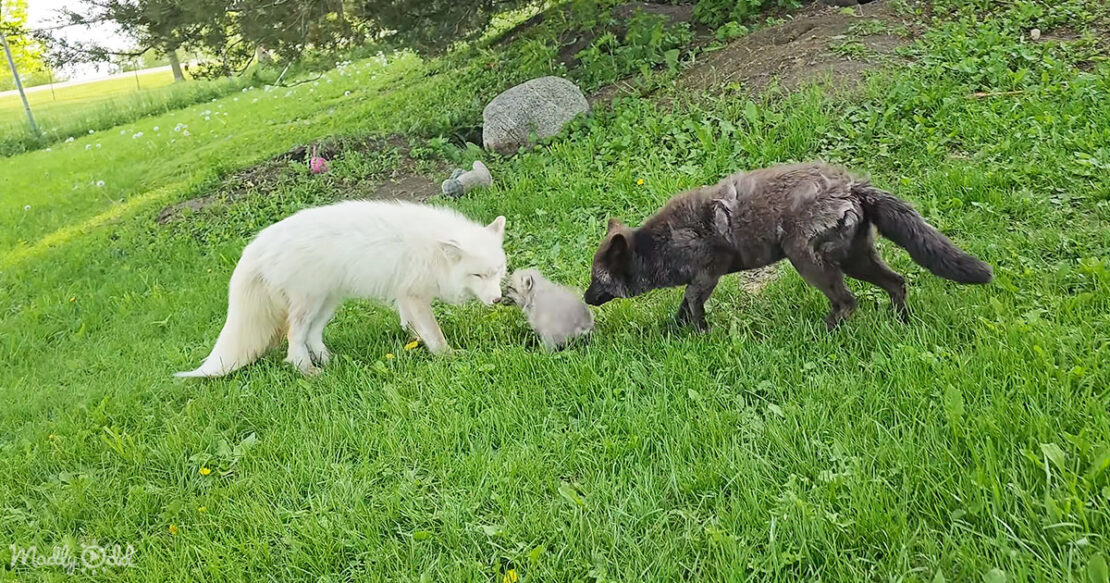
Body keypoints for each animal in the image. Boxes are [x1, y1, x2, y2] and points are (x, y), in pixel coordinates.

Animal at [176, 200, 507, 377]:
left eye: (498, 271)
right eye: (477, 274)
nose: (497, 300)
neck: (434, 250)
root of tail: (258, 242)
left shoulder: (404, 296)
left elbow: (413, 327)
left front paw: (416, 343)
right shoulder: (414, 295)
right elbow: (435, 334)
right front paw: (449, 357)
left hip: (327, 304)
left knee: (312, 336)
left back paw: (331, 361)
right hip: (309, 304)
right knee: (294, 339)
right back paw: (309, 371)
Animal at [584, 162, 992, 330]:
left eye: (597, 279)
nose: (585, 298)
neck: (655, 245)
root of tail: (852, 186)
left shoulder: (706, 276)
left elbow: (692, 306)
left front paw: (699, 334)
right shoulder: (698, 281)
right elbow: (683, 309)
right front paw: (677, 331)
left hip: (809, 262)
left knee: (848, 302)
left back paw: (825, 332)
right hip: (856, 259)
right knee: (897, 282)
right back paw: (901, 323)